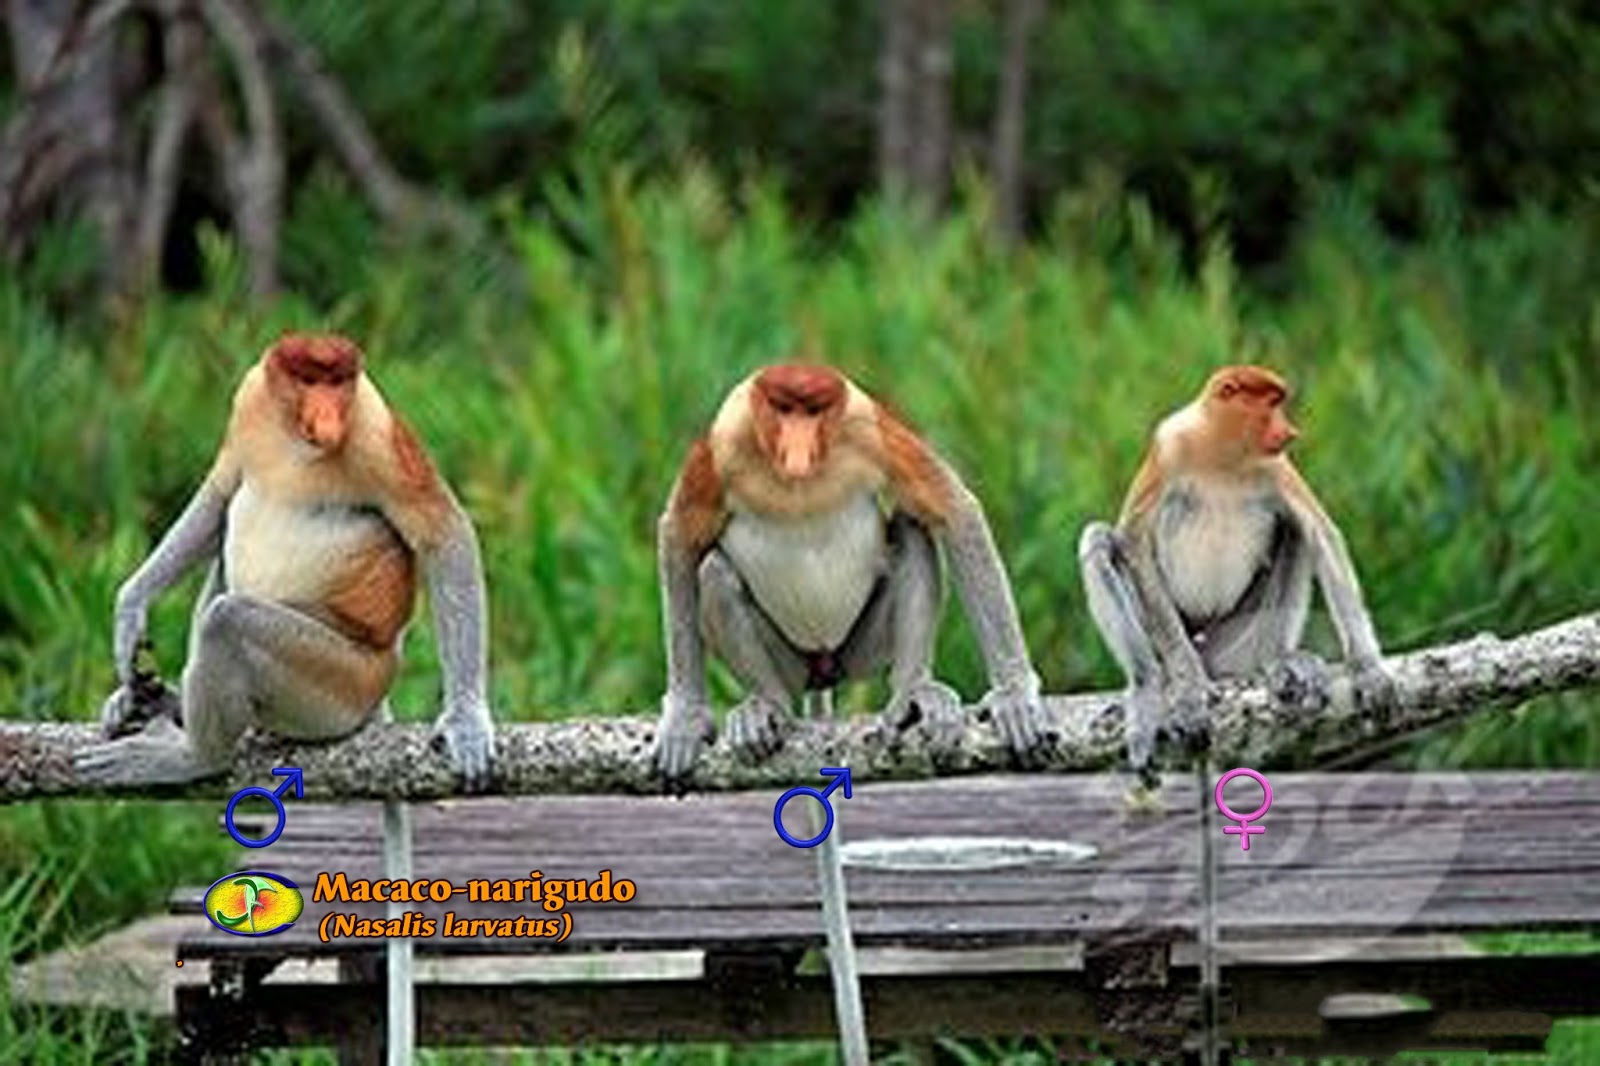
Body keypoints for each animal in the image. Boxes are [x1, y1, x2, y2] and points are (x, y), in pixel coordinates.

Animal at [74, 333, 495, 789]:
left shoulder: (375, 432)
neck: (293, 440)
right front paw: (130, 610)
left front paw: (467, 723)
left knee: (228, 621)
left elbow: (443, 533)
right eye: (309, 380)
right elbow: (219, 494)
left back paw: (196, 756)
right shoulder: (248, 400)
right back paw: (154, 702)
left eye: (337, 383)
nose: (327, 416)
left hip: (345, 682)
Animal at [652, 362, 1048, 777]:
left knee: (912, 530)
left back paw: (913, 693)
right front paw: (685, 720)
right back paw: (768, 708)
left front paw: (1015, 696)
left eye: (813, 411)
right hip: (792, 665)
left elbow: (954, 510)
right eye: (783, 409)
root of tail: (823, 666)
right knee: (715, 572)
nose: (797, 448)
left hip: (862, 651)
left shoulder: (870, 428)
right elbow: (679, 536)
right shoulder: (722, 443)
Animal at [1078, 365, 1393, 775]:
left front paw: (1369, 669)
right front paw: (1189, 690)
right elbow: (1132, 542)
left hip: (1233, 644)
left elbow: (1321, 533)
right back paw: (1149, 689)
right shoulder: (1168, 447)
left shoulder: (1277, 465)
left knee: (1294, 530)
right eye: (1271, 404)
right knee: (1098, 539)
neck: (1221, 451)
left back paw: (1279, 660)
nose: (1290, 431)